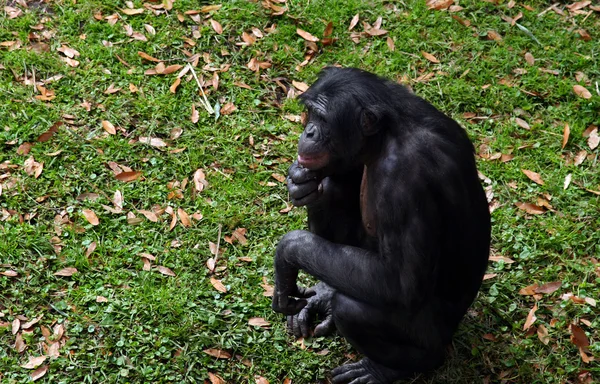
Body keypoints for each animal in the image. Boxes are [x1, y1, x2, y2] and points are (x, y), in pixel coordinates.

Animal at [274, 67, 490, 382]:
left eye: (323, 120)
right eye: (311, 114)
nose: (309, 131)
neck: (383, 138)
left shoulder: (404, 181)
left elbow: (399, 282)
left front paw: (288, 251)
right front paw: (299, 182)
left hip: (431, 338)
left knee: (352, 308)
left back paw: (385, 368)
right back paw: (324, 296)